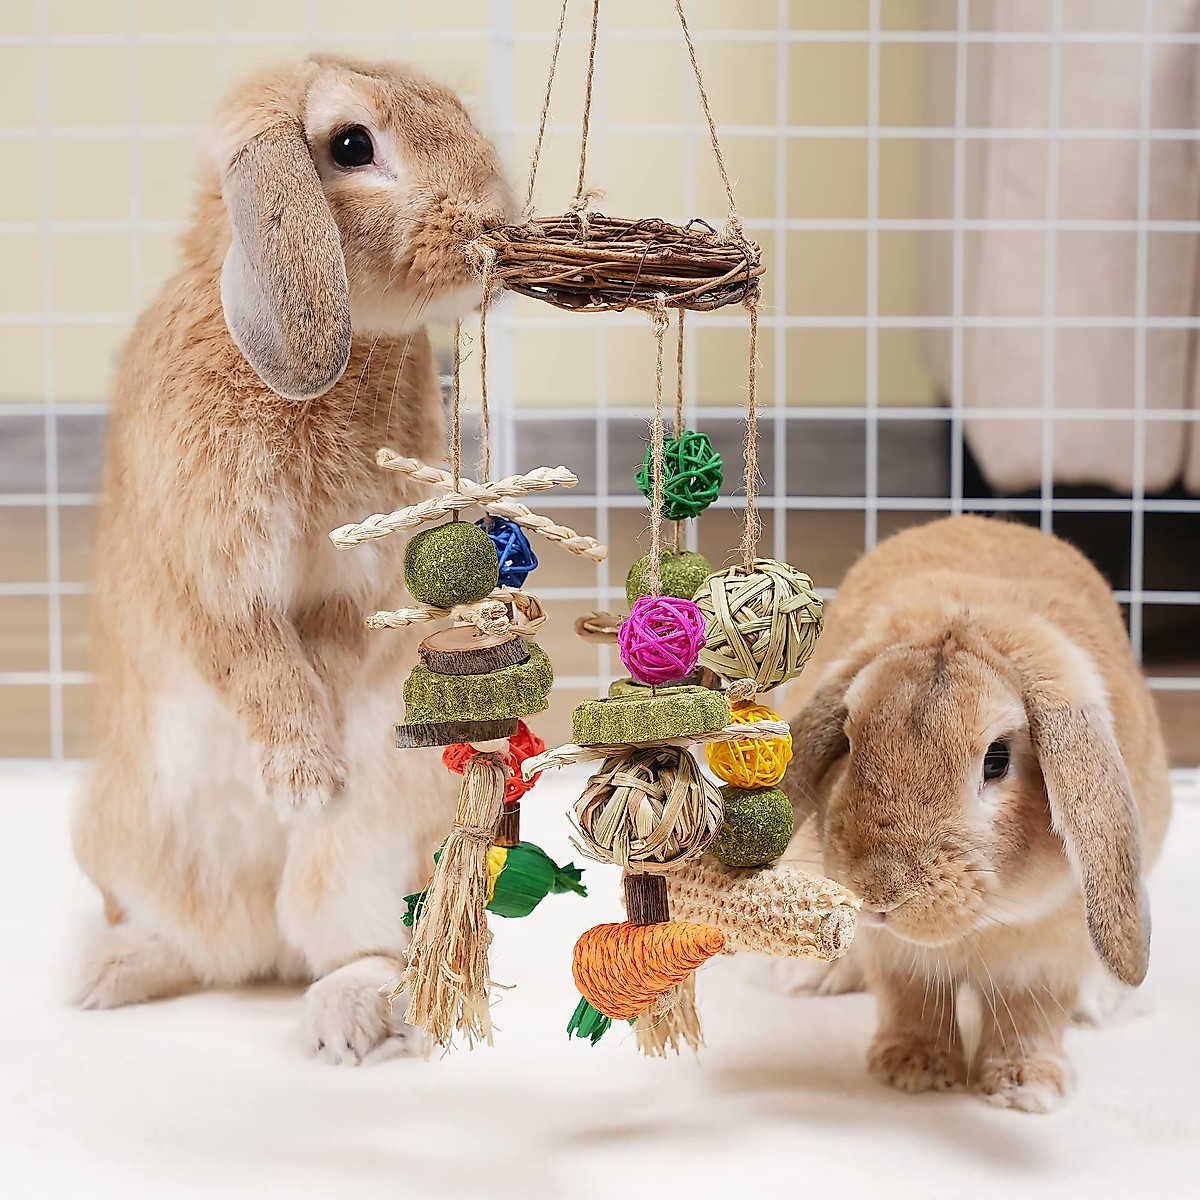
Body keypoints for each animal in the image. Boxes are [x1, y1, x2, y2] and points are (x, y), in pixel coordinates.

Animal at [70, 55, 516, 1064]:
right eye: (351, 145)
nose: (494, 219)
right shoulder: (208, 568)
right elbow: (252, 655)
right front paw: (304, 778)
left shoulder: (356, 577)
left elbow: (332, 652)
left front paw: (316, 777)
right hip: (130, 842)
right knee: (204, 949)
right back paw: (106, 974)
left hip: (374, 862)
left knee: (361, 944)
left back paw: (347, 1017)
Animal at [781, 515, 1171, 1112]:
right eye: (848, 739)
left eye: (997, 760)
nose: (878, 895)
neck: (975, 929)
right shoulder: (898, 957)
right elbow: (911, 999)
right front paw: (912, 1069)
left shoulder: (1047, 958)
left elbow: (1032, 1017)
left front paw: (1025, 1087)